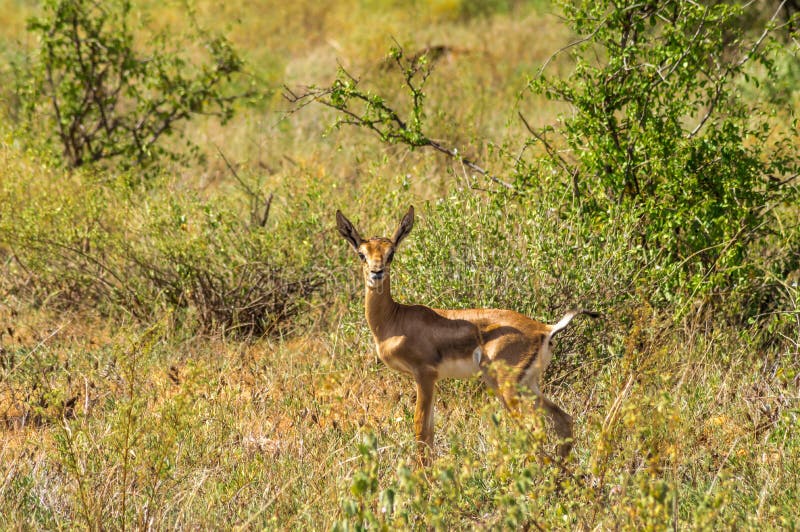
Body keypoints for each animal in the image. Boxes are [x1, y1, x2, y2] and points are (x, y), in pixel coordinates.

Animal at [336, 206, 598, 465]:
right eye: (361, 253)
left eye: (391, 253)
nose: (376, 272)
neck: (394, 320)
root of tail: (545, 329)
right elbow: (430, 432)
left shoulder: (424, 375)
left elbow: (420, 429)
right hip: (528, 384)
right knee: (563, 420)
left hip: (507, 387)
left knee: (533, 430)